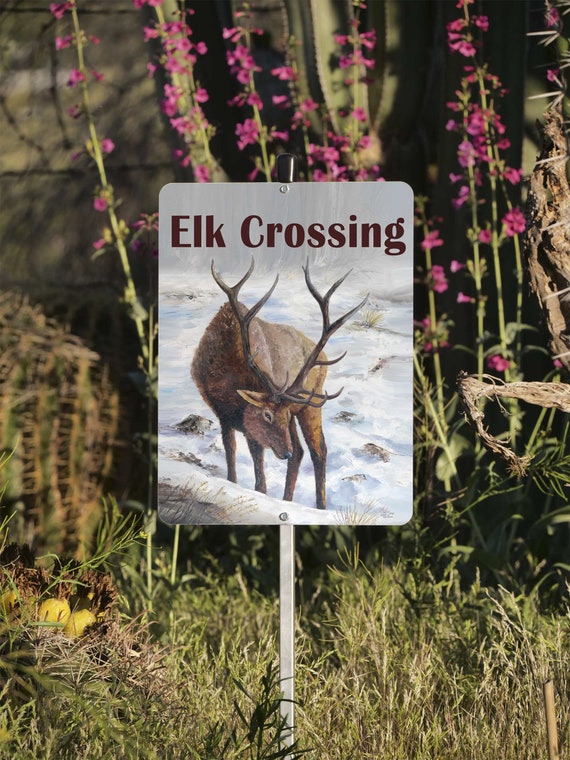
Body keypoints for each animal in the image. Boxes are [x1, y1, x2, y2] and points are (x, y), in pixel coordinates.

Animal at [191, 259, 366, 510]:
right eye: (267, 414)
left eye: (279, 415)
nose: (285, 453)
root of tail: (321, 354)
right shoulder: (223, 415)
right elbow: (230, 454)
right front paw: (233, 482)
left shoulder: (254, 426)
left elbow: (258, 472)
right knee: (302, 451)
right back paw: (288, 499)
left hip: (311, 404)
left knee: (317, 449)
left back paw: (320, 506)